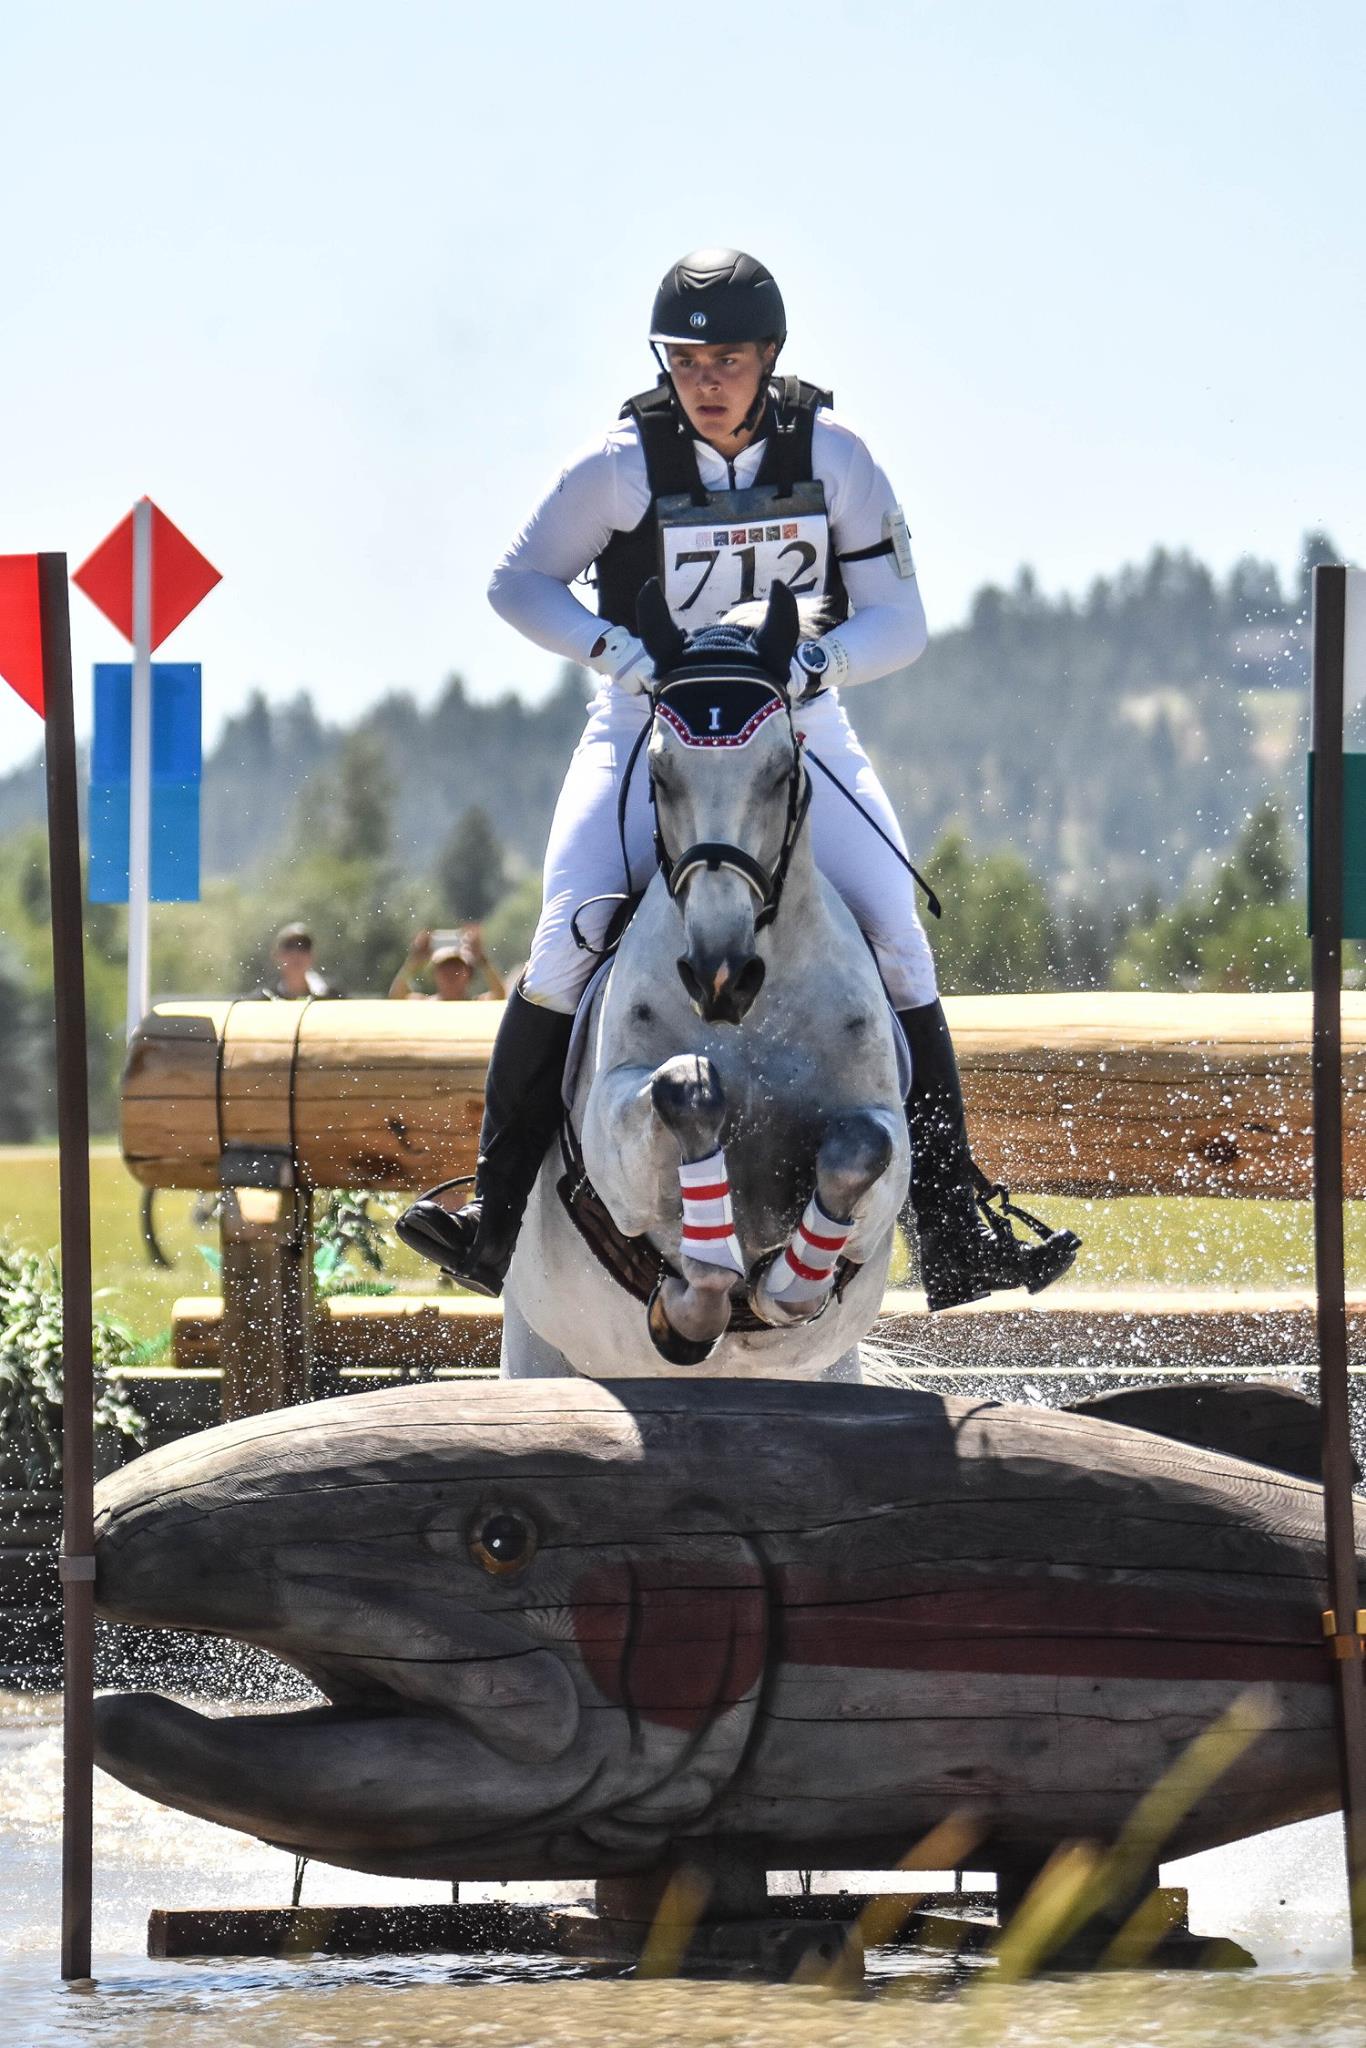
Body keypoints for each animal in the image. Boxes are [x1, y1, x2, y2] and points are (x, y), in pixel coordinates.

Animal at [503, 579, 910, 1382]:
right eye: (659, 776)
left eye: (782, 771)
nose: (719, 973)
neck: (753, 1020)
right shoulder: (614, 1133)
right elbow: (684, 1087)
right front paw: (700, 1291)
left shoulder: (886, 1146)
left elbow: (861, 1146)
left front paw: (787, 1283)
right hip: (536, 1349)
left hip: (830, 1369)